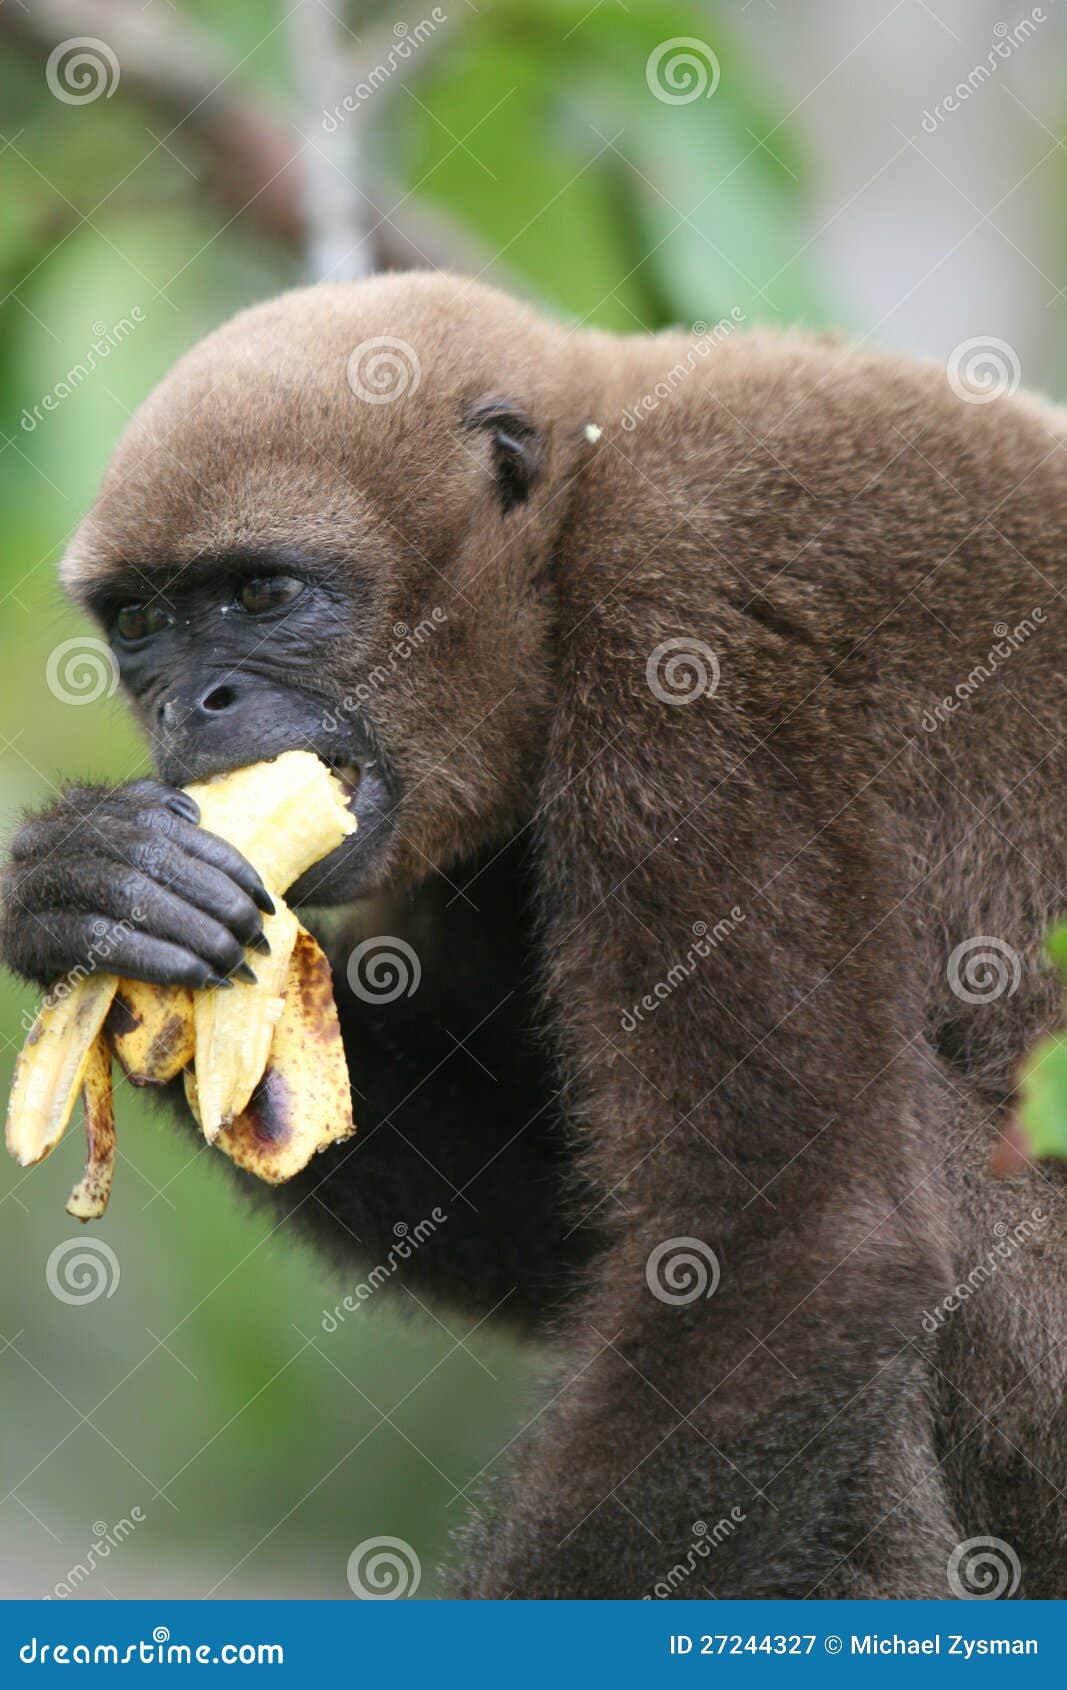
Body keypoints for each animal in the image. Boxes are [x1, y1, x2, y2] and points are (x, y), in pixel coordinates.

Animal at [3, 271, 1067, 1600]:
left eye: (262, 595)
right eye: (142, 621)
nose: (192, 704)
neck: (575, 513)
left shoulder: (681, 614)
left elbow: (800, 1246)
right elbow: (555, 1227)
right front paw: (89, 892)